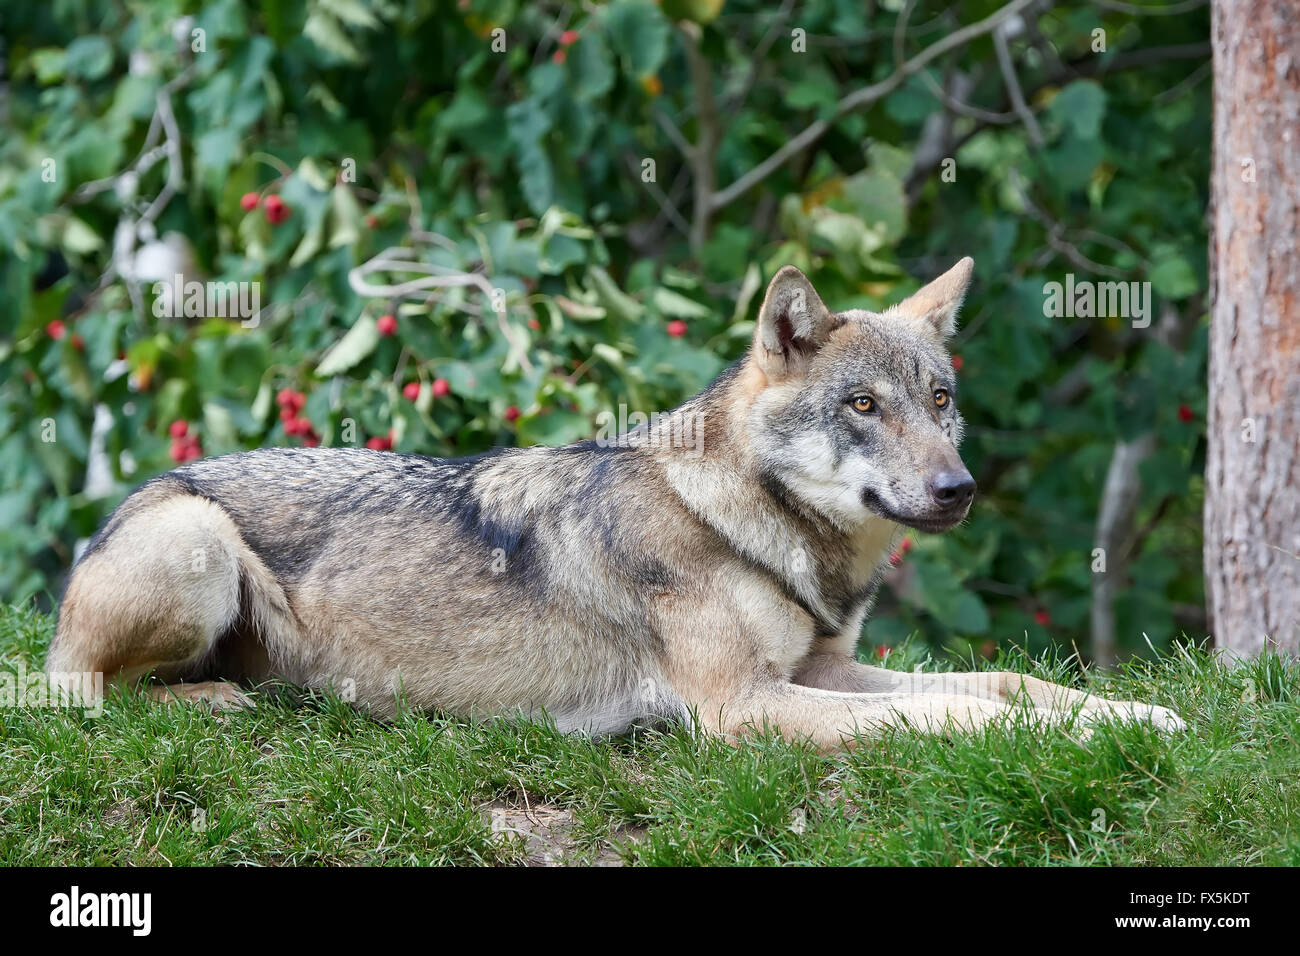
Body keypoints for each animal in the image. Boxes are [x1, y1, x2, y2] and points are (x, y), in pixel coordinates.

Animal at [48, 259, 1184, 749]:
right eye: (863, 404)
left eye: (939, 400)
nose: (957, 488)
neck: (756, 527)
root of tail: (132, 499)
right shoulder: (743, 707)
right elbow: (953, 708)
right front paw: (1083, 737)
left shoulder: (817, 669)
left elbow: (1004, 680)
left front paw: (1138, 714)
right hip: (194, 542)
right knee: (83, 692)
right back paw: (217, 700)